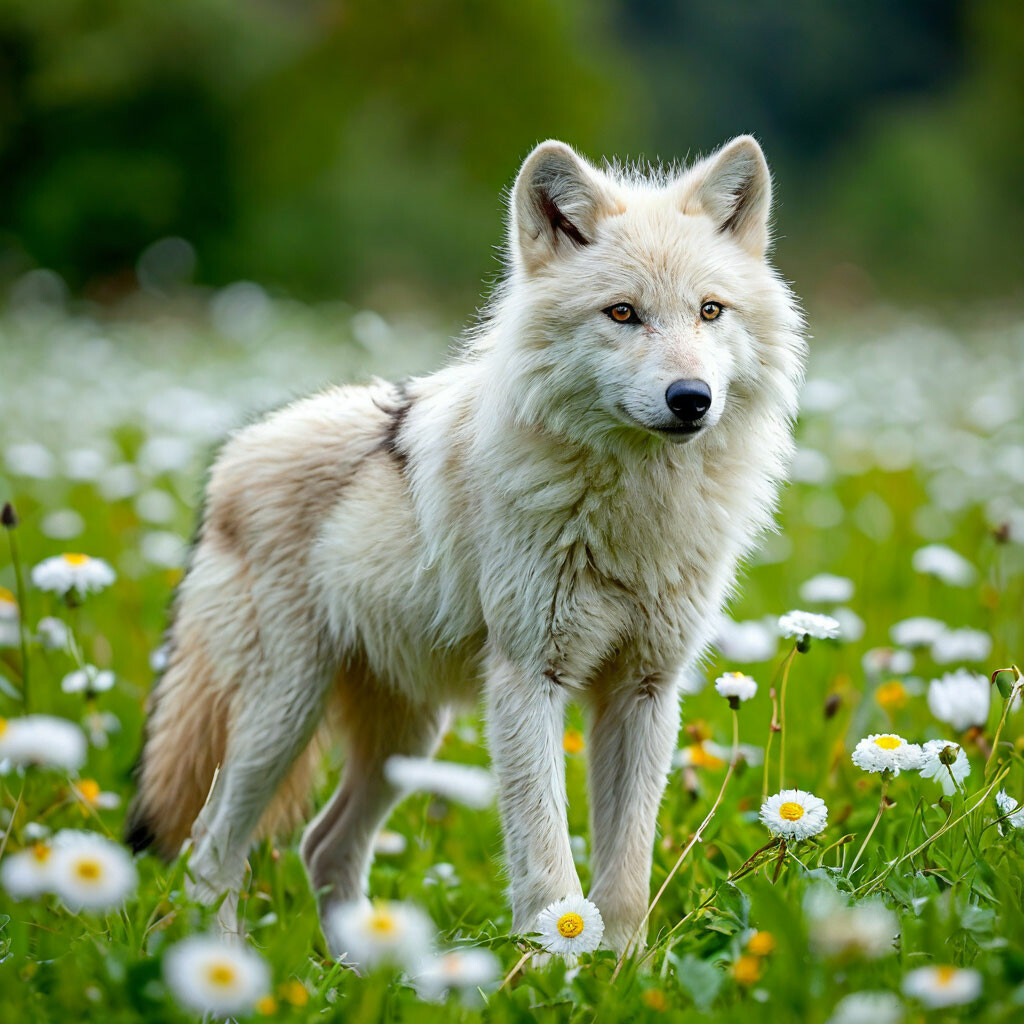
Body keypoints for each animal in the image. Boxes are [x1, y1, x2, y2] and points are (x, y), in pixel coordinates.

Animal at [126, 135, 805, 956]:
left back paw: (362, 971)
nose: (691, 400)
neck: (636, 506)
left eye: (710, 311)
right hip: (281, 718)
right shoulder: (528, 680)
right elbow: (547, 861)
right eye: (623, 313)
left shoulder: (645, 693)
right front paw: (555, 963)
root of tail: (229, 456)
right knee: (211, 850)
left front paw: (621, 968)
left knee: (323, 847)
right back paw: (227, 971)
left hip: (405, 739)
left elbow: (626, 876)